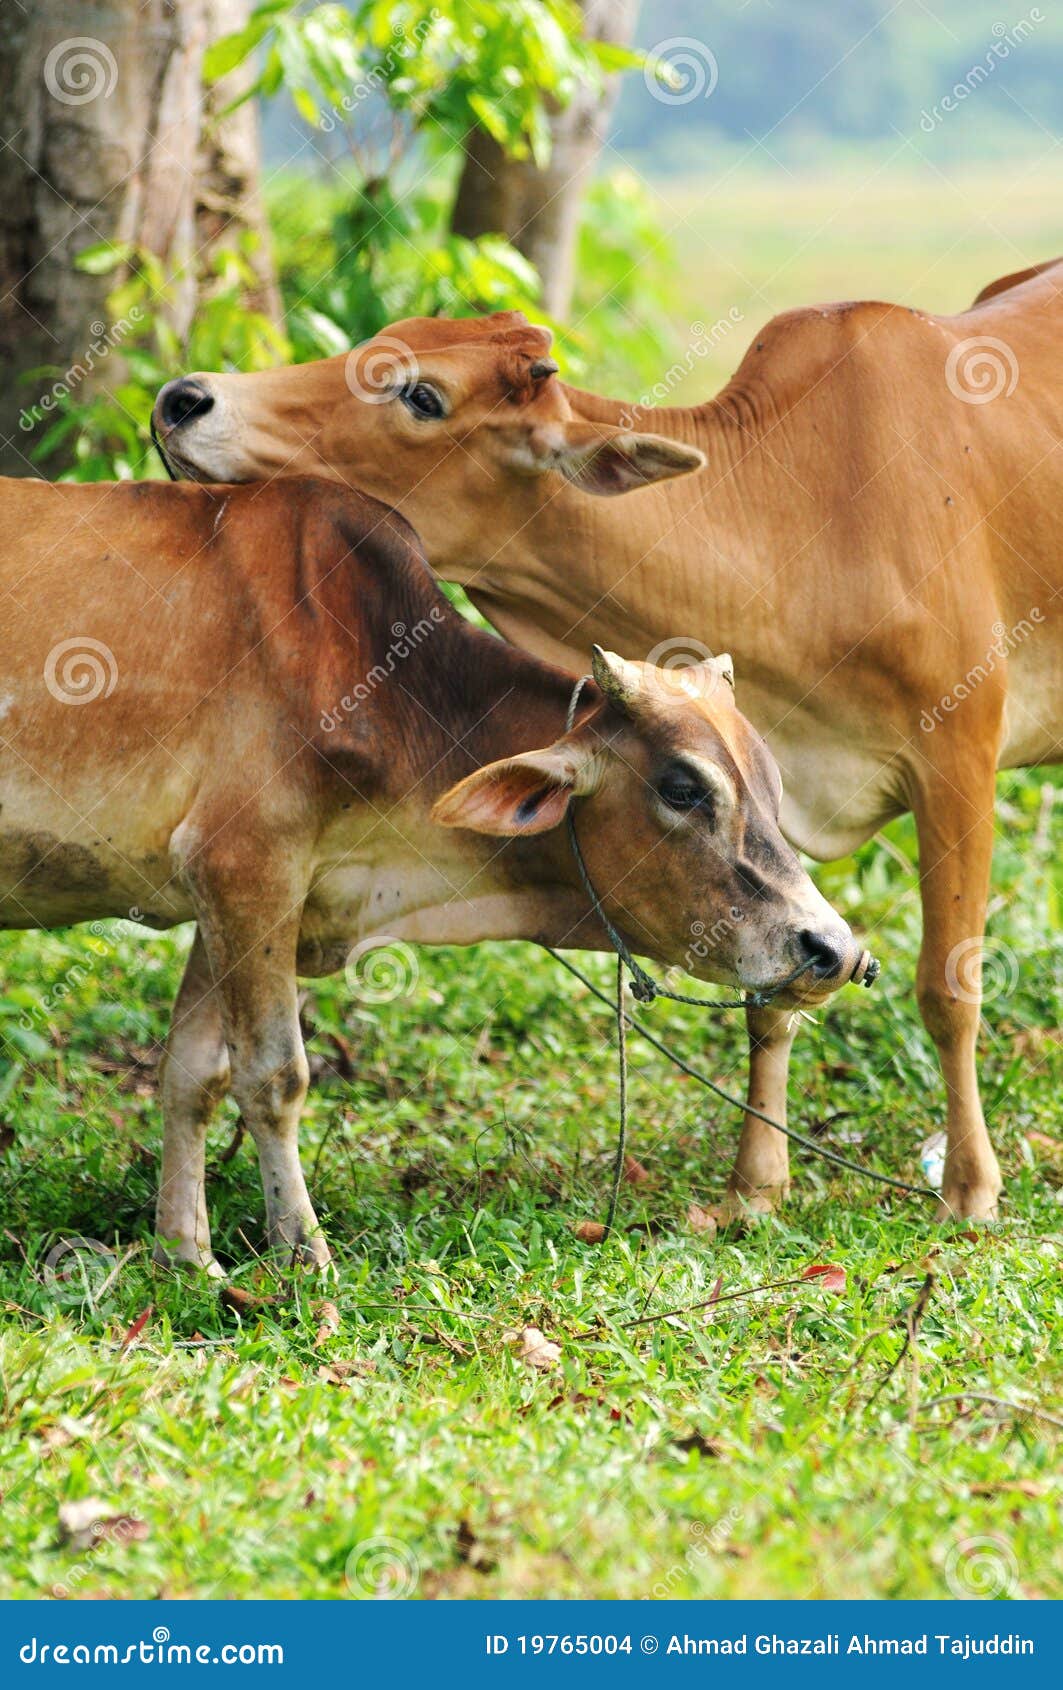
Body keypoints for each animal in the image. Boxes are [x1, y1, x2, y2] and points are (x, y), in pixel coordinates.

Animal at [0, 475, 873, 1272]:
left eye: (772, 786)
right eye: (683, 787)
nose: (832, 949)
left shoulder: (237, 897)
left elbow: (192, 1075)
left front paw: (185, 1258)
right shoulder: (244, 863)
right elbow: (273, 1075)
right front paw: (303, 1257)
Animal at [152, 260, 1063, 1221]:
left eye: (422, 396)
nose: (184, 398)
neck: (795, 522)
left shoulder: (957, 754)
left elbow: (947, 987)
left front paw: (969, 1190)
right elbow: (770, 982)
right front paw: (753, 1188)